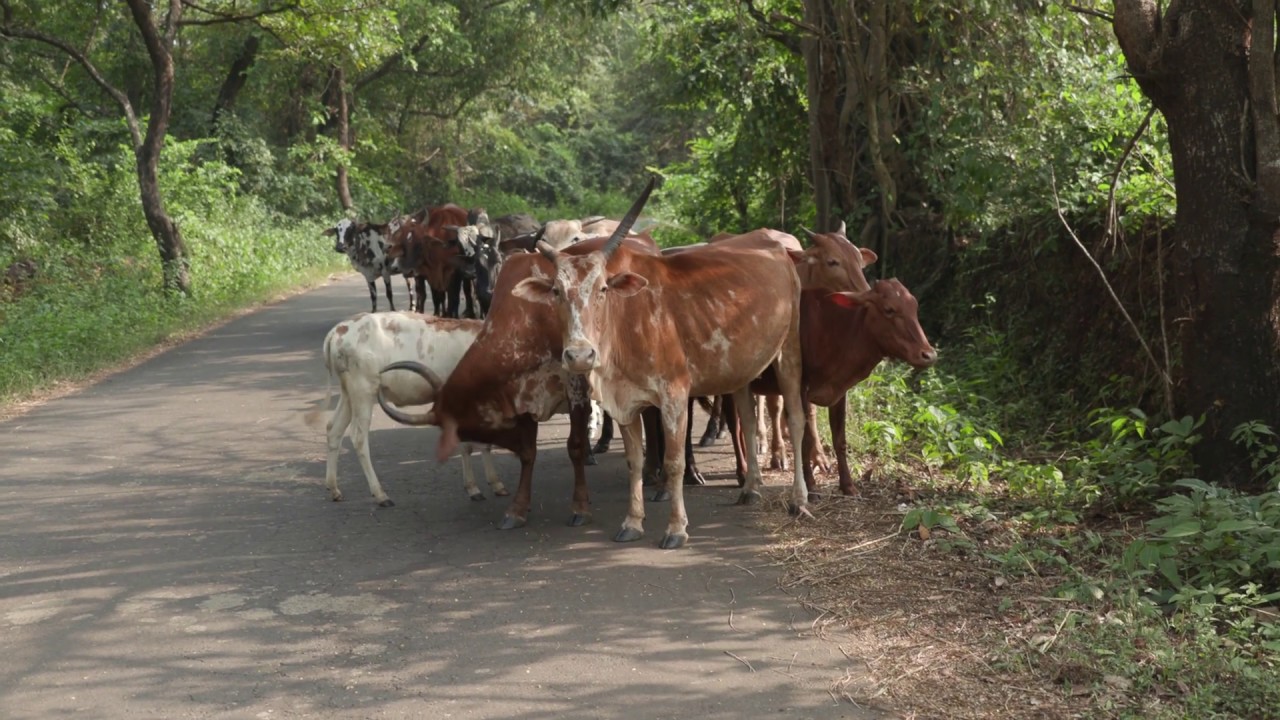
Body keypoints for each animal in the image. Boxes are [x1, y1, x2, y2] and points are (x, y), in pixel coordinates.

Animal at [312, 312, 507, 508]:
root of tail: (338, 331)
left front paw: (490, 485)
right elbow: (472, 444)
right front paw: (478, 487)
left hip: (348, 393)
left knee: (333, 429)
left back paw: (334, 489)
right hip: (363, 390)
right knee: (358, 437)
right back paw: (381, 495)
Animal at [379, 232, 664, 530]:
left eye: (464, 428)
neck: (527, 315)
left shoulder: (576, 387)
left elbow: (574, 446)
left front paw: (580, 506)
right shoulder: (524, 393)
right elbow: (529, 452)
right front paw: (518, 508)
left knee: (650, 415)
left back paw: (652, 473)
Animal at [510, 179, 812, 549]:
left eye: (603, 288)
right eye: (556, 291)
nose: (580, 355)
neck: (625, 325)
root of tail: (775, 246)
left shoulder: (674, 395)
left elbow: (673, 462)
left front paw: (676, 528)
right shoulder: (624, 402)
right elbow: (635, 461)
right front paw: (632, 522)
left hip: (789, 351)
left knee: (795, 418)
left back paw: (799, 500)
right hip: (741, 367)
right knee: (749, 419)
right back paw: (751, 488)